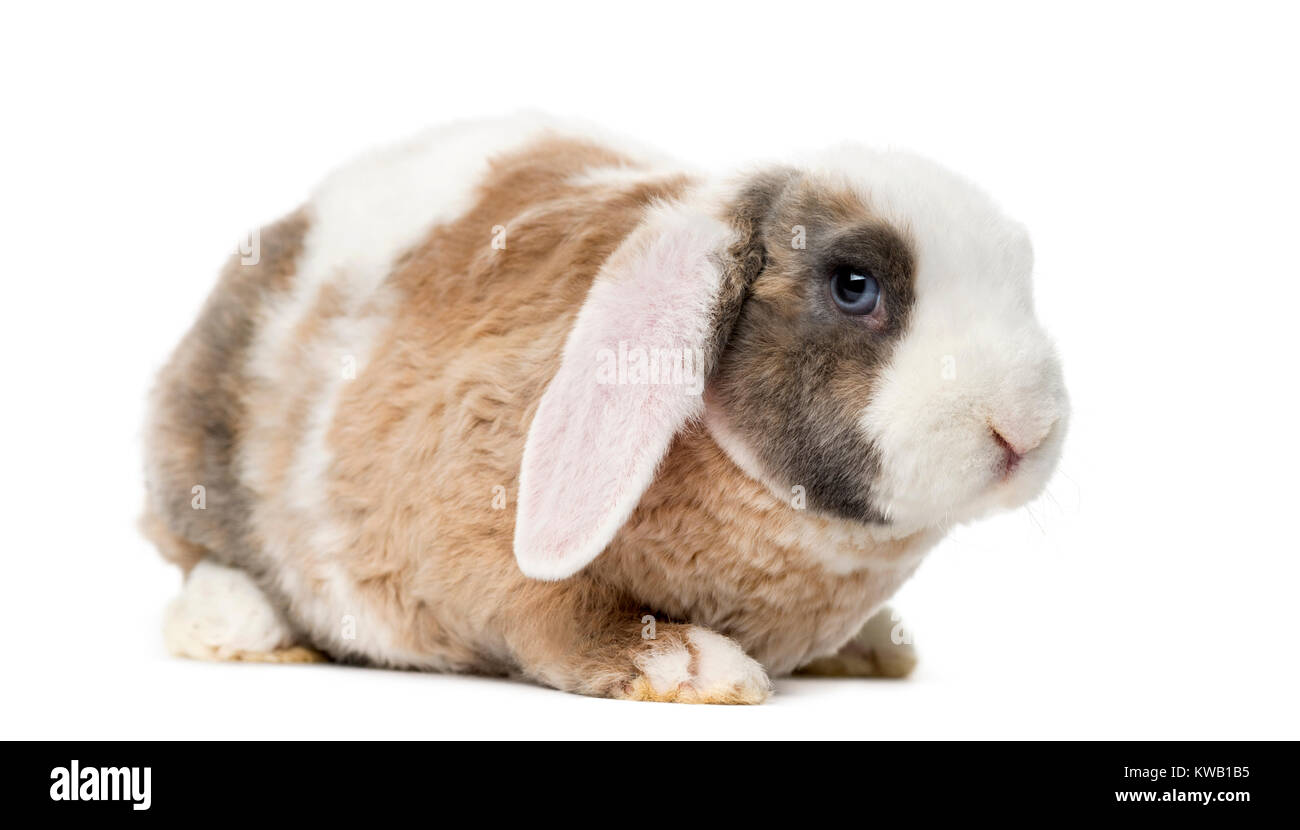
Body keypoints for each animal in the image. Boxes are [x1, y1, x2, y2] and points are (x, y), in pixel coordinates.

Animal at [142, 114, 1068, 703]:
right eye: (853, 285)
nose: (1028, 428)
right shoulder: (487, 545)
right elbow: (559, 617)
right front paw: (695, 670)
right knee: (197, 557)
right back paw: (241, 627)